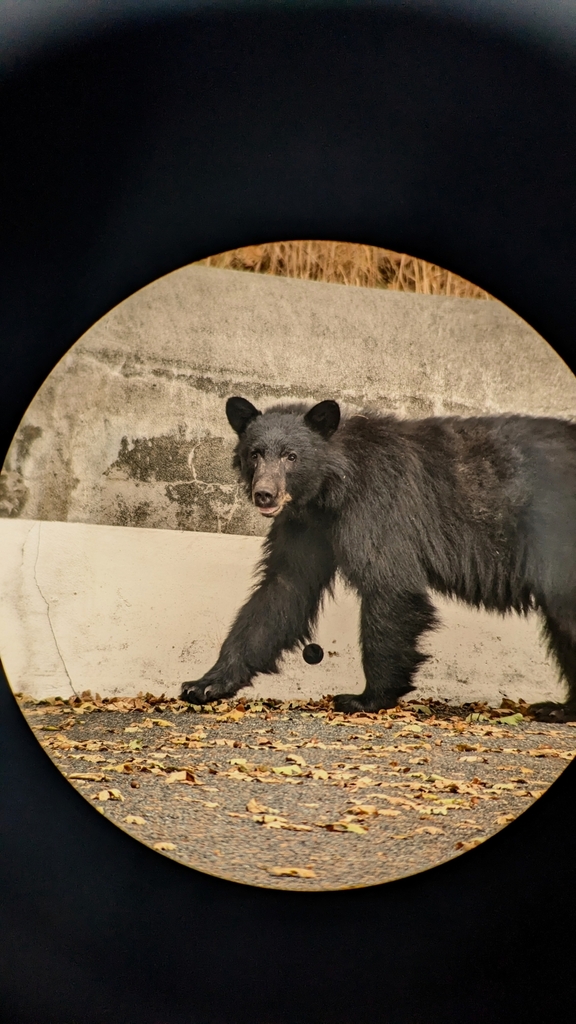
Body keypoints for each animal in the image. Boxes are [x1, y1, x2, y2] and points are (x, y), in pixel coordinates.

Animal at [180, 396, 576, 718]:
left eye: (291, 456)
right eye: (255, 453)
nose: (264, 494)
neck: (330, 488)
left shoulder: (376, 505)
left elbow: (389, 584)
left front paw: (364, 698)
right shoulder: (307, 526)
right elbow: (282, 590)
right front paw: (205, 683)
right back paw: (558, 708)